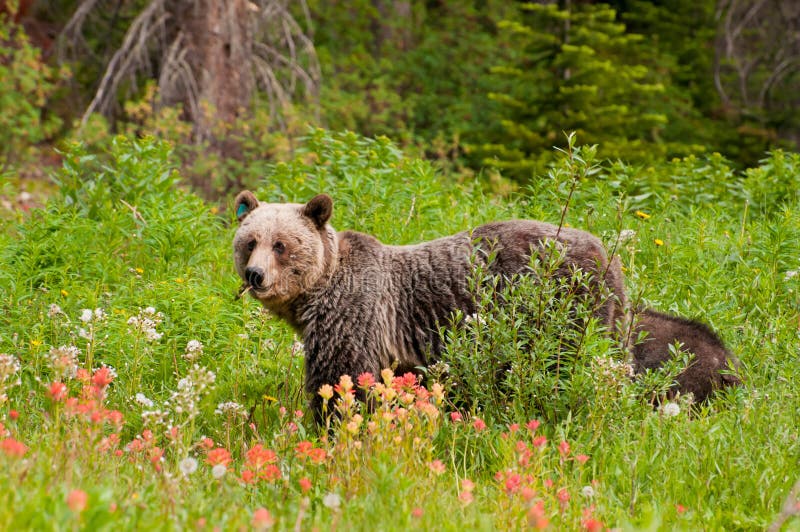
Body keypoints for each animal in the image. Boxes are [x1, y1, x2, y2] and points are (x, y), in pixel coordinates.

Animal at [232, 191, 627, 419]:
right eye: (250, 242)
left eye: (280, 244)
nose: (255, 274)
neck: (316, 292)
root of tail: (605, 250)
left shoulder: (354, 315)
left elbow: (342, 377)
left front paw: (331, 422)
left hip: (564, 305)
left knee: (562, 362)